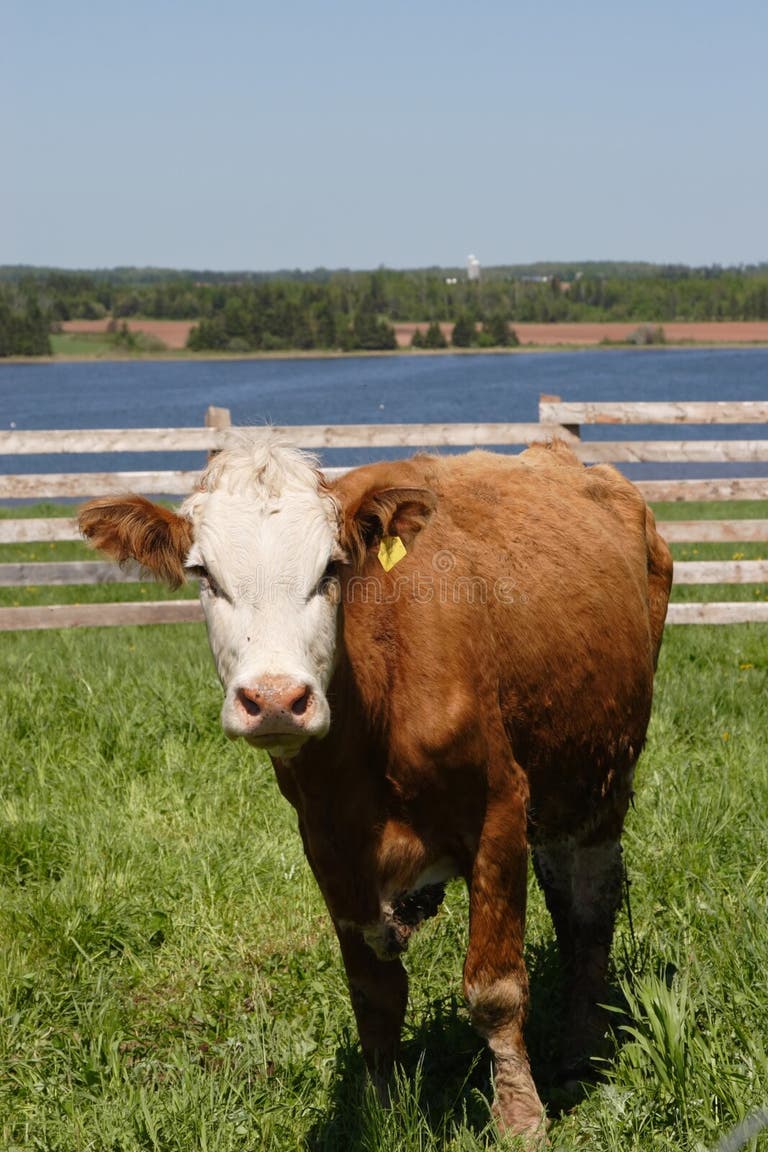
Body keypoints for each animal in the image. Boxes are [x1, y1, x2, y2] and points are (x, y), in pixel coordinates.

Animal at [78, 431, 673, 1141]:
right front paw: (383, 1113)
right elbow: (375, 994)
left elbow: (495, 988)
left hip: (603, 776)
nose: (274, 700)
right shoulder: (328, 840)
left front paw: (521, 1117)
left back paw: (580, 1053)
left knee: (591, 906)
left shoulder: (499, 811)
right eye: (203, 574)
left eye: (331, 569)